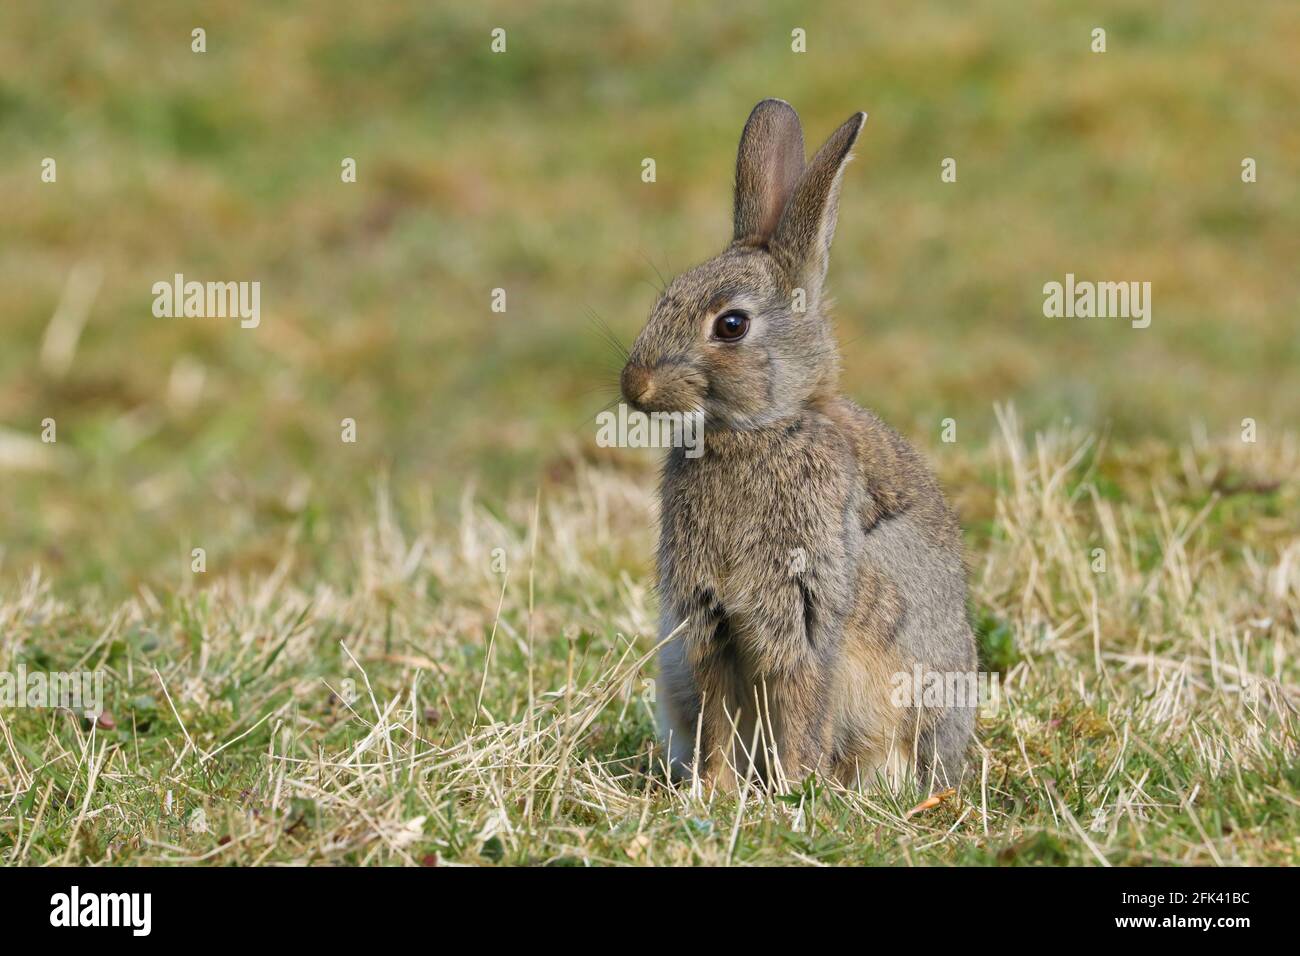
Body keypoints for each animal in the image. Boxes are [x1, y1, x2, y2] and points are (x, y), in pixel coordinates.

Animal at [620, 99, 977, 793]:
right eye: (663, 298)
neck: (758, 433)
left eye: (731, 325)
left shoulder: (806, 612)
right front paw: (717, 790)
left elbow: (802, 702)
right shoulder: (707, 623)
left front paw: (791, 788)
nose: (634, 386)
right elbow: (720, 716)